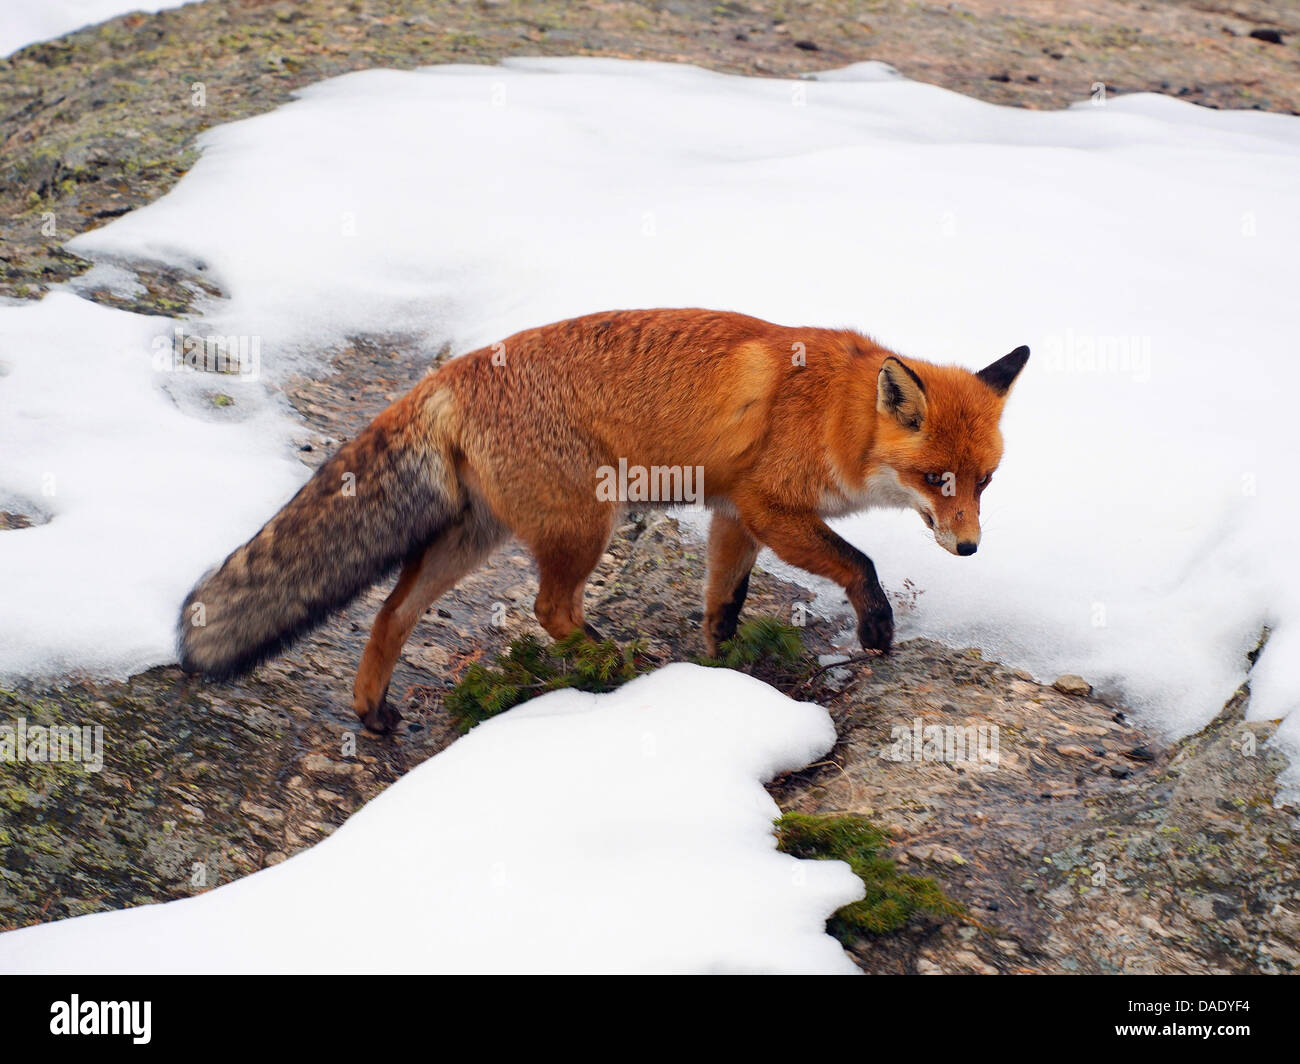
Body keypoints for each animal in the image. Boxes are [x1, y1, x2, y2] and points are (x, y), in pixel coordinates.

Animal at [178, 308, 1028, 732]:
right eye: (935, 479)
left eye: (986, 482)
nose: (968, 547)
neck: (835, 412)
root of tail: (450, 372)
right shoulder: (767, 505)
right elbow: (860, 563)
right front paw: (876, 627)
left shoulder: (732, 513)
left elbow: (722, 607)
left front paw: (724, 675)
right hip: (587, 521)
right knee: (550, 609)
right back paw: (612, 663)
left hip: (476, 537)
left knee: (391, 612)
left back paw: (373, 710)